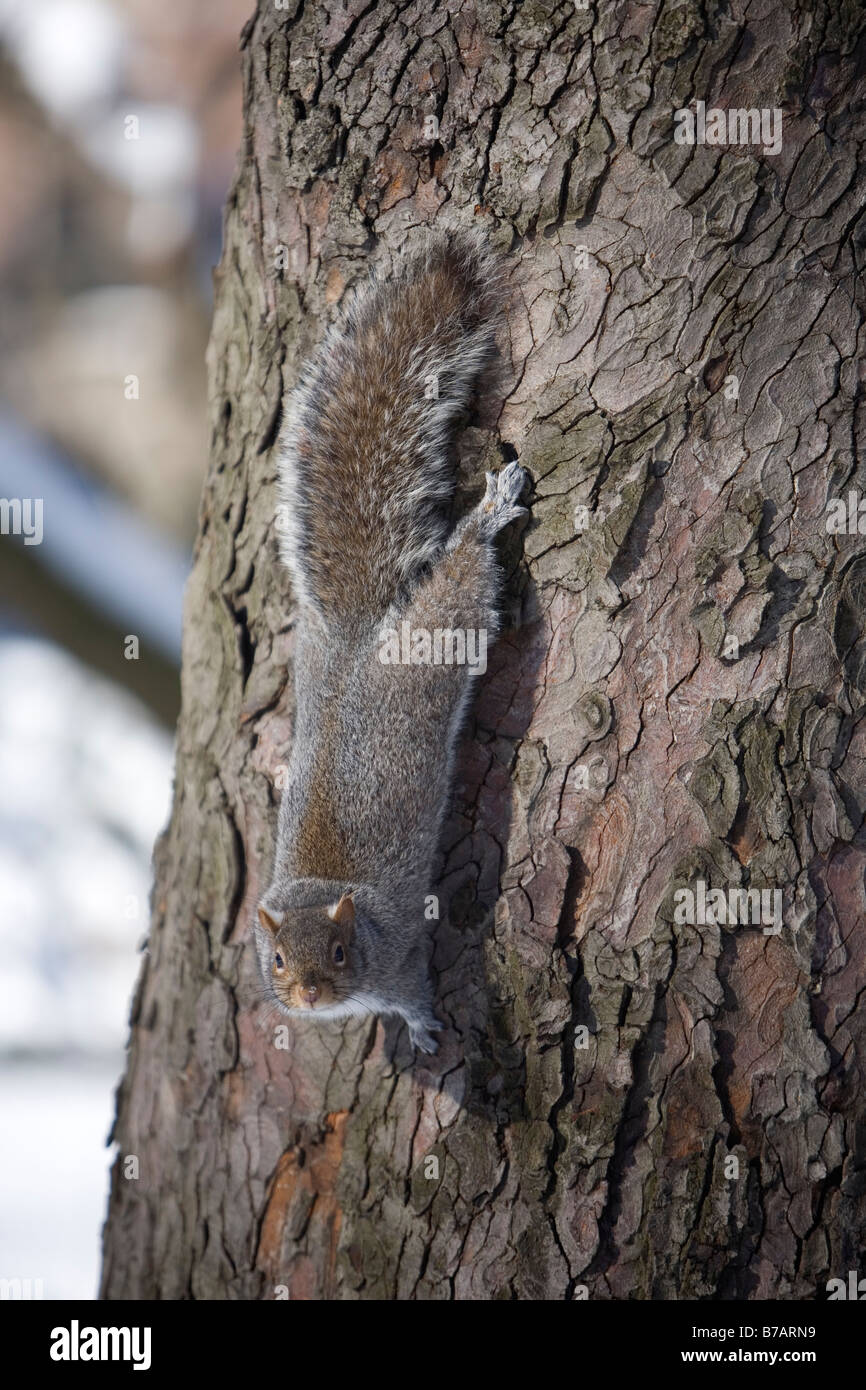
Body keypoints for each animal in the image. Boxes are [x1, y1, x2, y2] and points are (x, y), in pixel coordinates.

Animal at [255, 230, 528, 1054]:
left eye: (342, 951)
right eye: (276, 959)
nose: (309, 996)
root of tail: (356, 641)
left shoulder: (401, 953)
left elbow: (411, 992)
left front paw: (425, 1029)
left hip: (438, 636)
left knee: (462, 577)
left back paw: (489, 515)